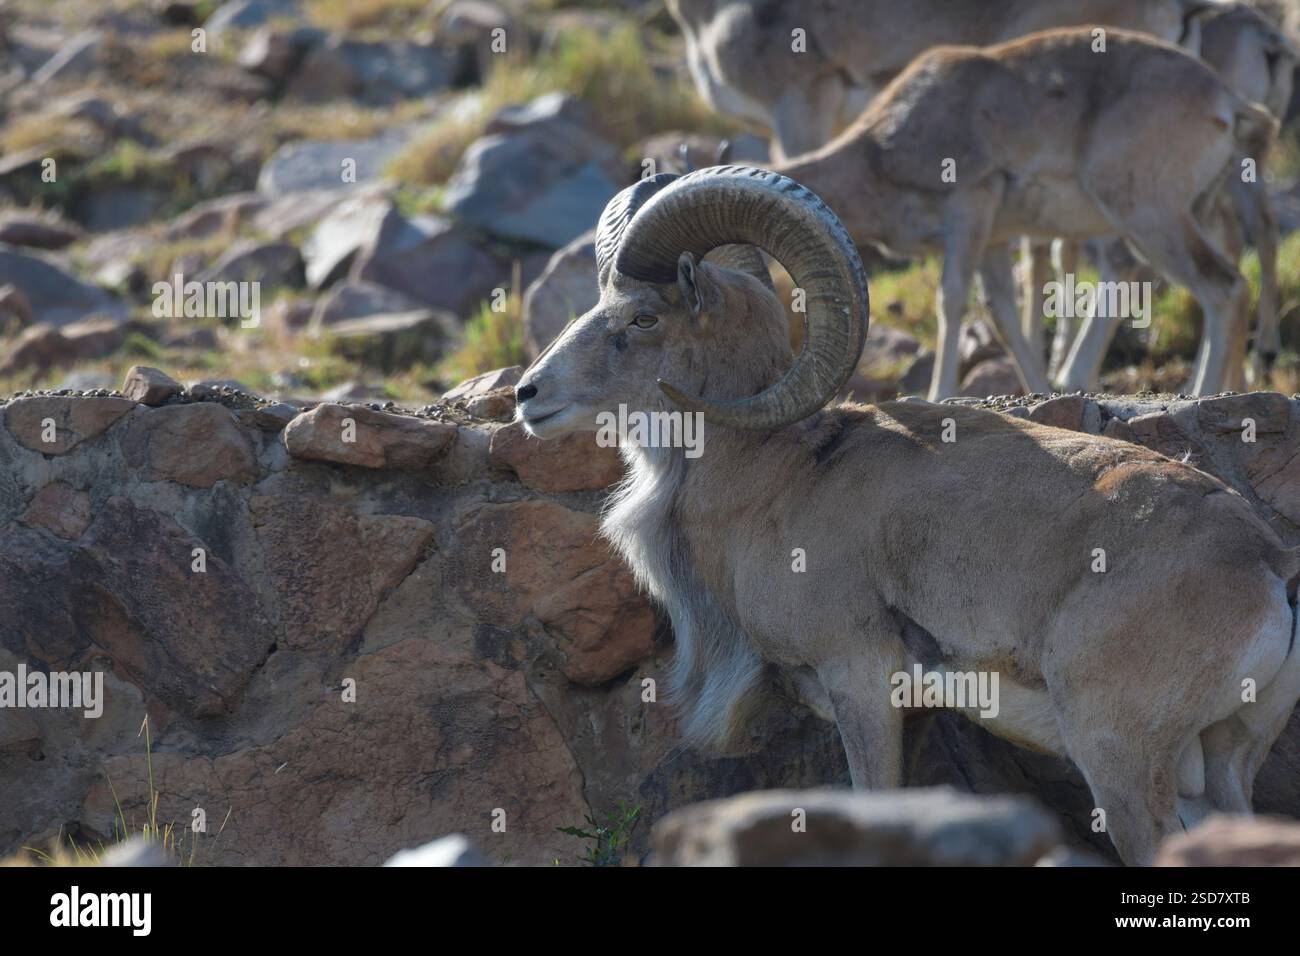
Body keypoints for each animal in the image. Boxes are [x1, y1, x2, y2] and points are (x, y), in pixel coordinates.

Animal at [515, 161, 1300, 865]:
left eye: (642, 317)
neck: (778, 477)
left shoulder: (861, 681)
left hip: (1122, 765)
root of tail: (1266, 566)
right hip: (1219, 770)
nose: (528, 395)